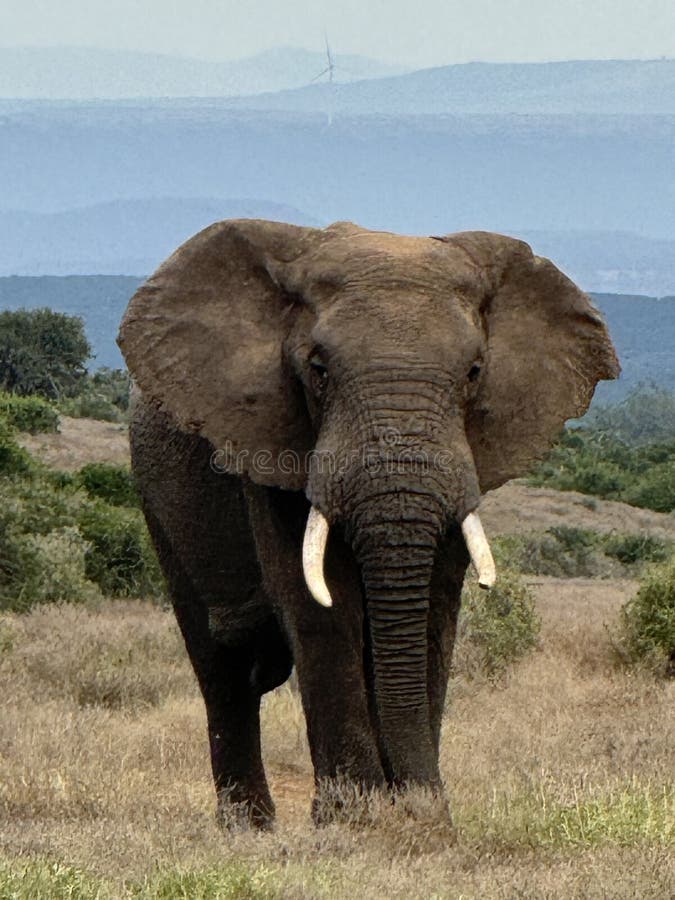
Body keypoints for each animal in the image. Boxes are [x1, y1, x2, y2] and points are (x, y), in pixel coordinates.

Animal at [118, 219, 619, 829]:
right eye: (318, 369)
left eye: (474, 372)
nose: (421, 807)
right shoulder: (273, 441)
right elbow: (321, 606)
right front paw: (355, 821)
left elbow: (434, 607)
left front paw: (421, 816)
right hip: (156, 496)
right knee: (223, 666)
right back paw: (249, 829)